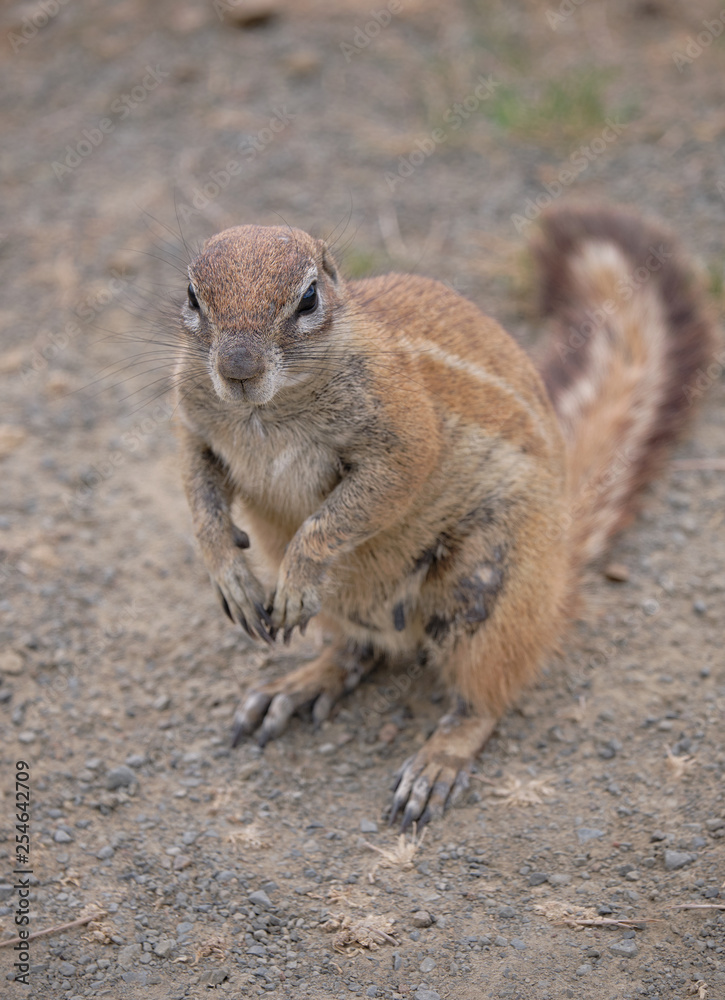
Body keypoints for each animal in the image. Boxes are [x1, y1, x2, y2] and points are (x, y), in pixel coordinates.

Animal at [174, 205, 715, 828]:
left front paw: (298, 569)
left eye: (308, 299)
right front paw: (230, 576)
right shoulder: (191, 424)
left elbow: (345, 512)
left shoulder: (403, 434)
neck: (265, 412)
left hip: (486, 592)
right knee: (355, 651)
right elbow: (198, 493)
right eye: (192, 296)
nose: (238, 367)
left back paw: (436, 763)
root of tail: (560, 563)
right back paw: (297, 685)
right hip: (348, 608)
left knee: (483, 697)